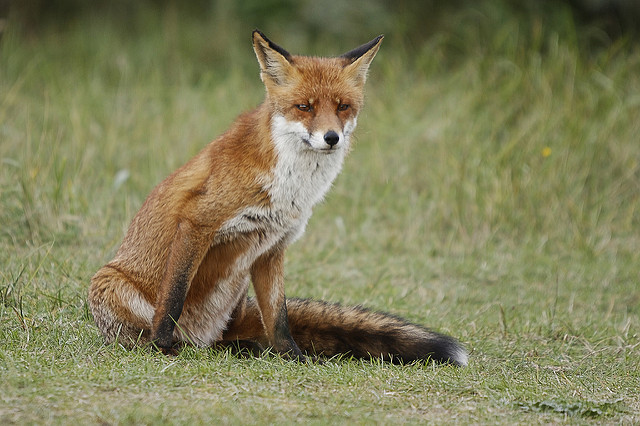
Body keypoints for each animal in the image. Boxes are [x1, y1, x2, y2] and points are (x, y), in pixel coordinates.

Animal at [88, 30, 467, 366]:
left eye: (343, 107)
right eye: (304, 107)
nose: (332, 138)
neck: (292, 185)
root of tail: (199, 338)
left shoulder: (273, 245)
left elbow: (279, 316)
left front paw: (292, 357)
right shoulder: (196, 221)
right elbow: (173, 296)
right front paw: (161, 345)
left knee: (237, 334)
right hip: (109, 284)